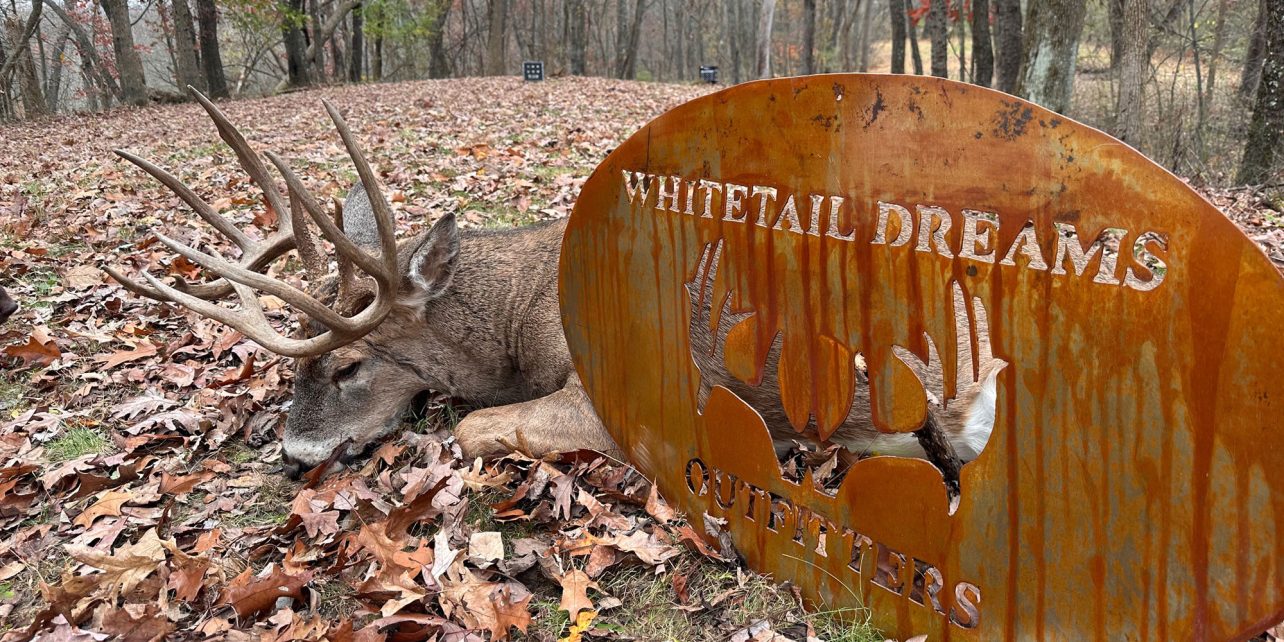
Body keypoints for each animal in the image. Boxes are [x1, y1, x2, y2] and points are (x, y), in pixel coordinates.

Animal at [107, 91, 1000, 484]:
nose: (295, 458)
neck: (517, 320)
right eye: (293, 369)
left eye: (352, 366)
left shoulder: (628, 395)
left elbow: (473, 430)